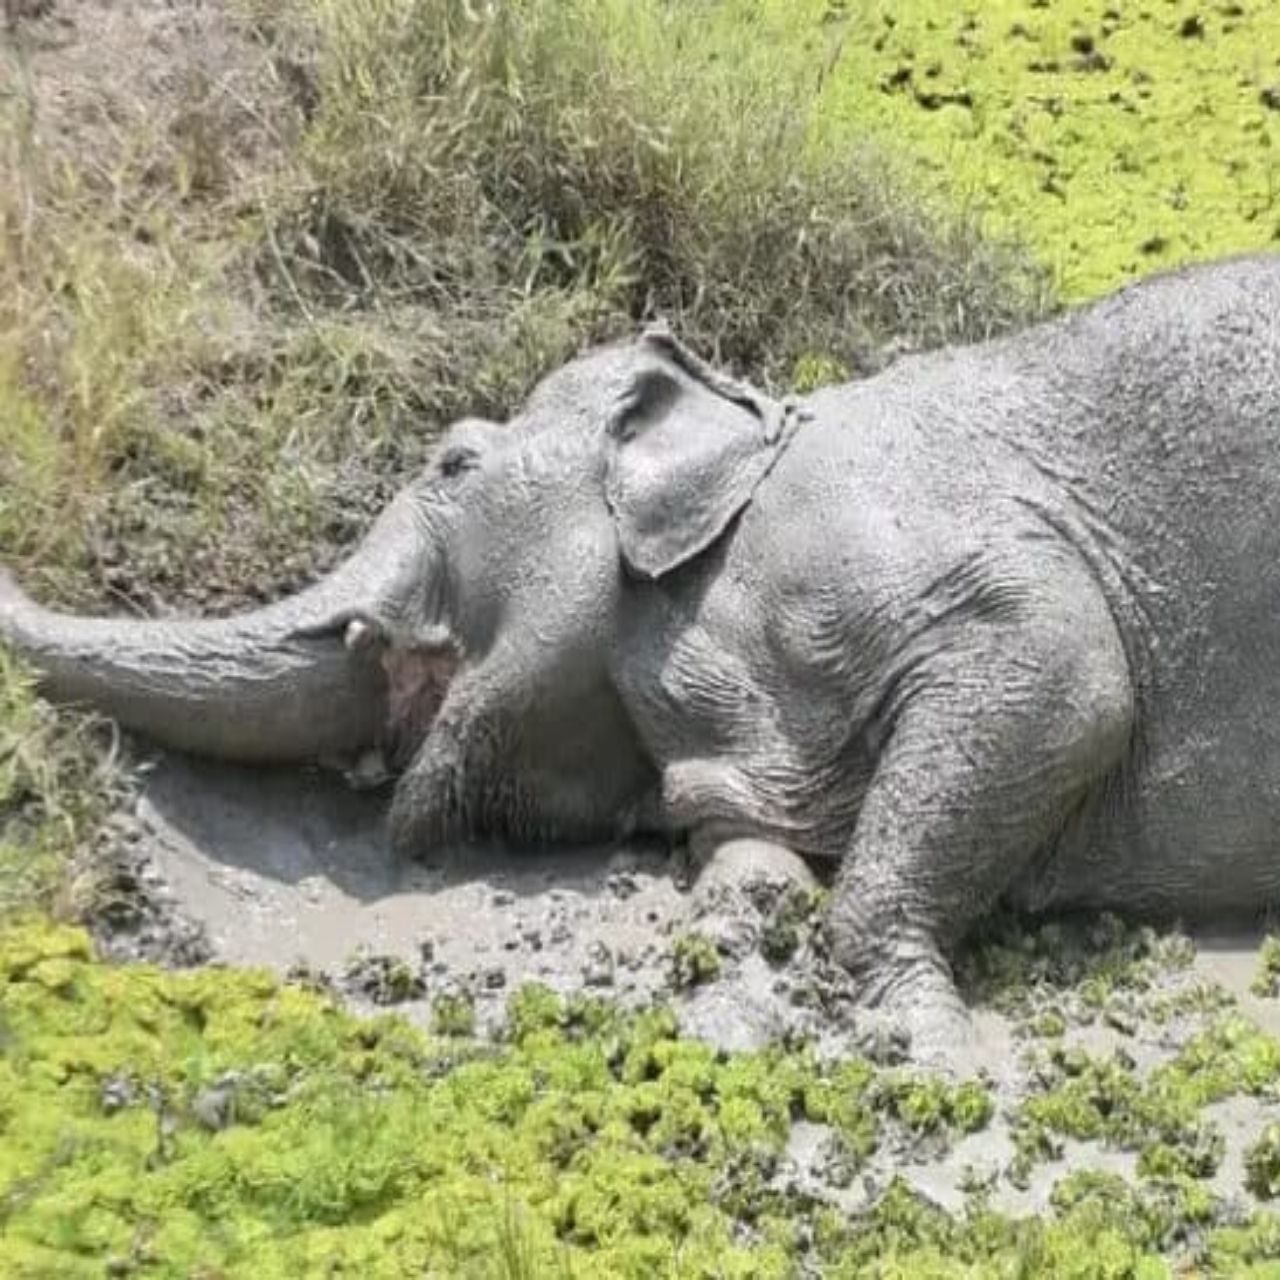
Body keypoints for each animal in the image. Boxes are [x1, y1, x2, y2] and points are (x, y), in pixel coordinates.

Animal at [4, 252, 1280, 1057]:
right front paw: (751, 886)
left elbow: (1062, 666)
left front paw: (933, 1046)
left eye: (452, 461)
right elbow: (738, 830)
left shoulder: (873, 536)